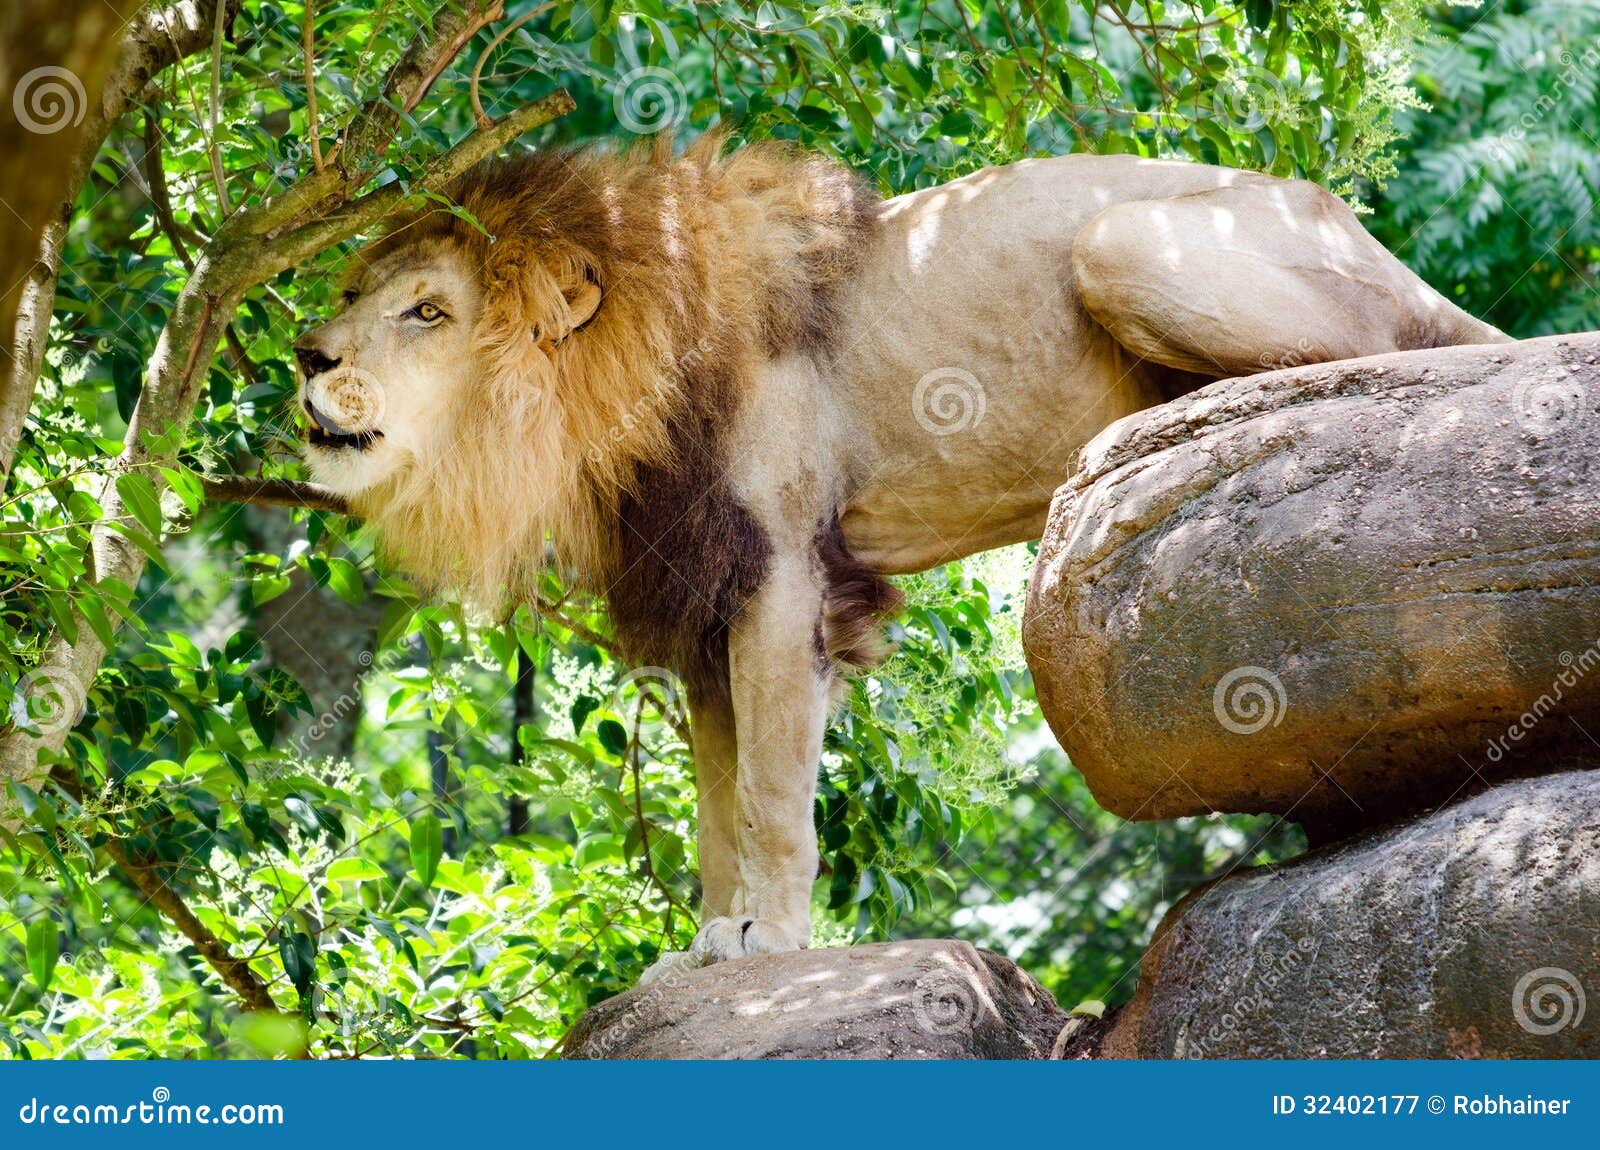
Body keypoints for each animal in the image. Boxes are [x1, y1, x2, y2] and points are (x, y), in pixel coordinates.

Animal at [293, 134, 1506, 982]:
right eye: (351, 293)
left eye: (428, 311)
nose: (306, 352)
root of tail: (1375, 242)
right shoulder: (701, 596)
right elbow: (716, 804)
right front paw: (705, 944)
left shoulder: (782, 570)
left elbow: (771, 793)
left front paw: (770, 942)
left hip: (1124, 244)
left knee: (1364, 354)